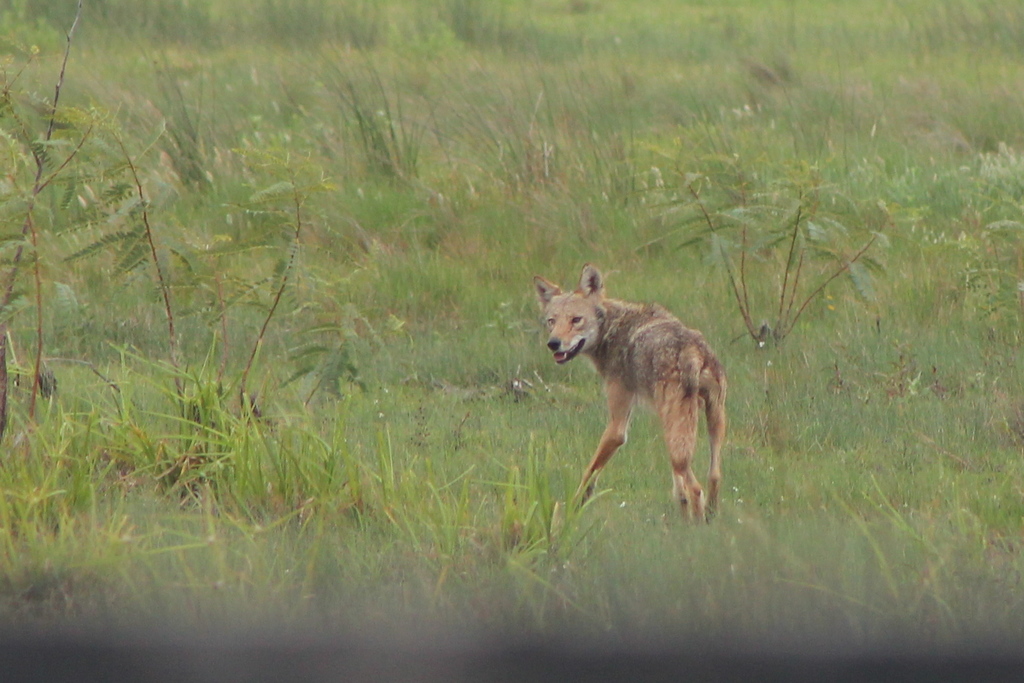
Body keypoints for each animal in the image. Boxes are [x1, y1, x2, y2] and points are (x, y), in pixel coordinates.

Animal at [534, 264, 727, 521]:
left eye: (576, 320)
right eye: (551, 321)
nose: (553, 343)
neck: (614, 329)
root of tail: (693, 350)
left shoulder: (617, 426)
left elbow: (589, 472)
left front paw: (573, 509)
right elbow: (678, 487)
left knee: (697, 488)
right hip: (706, 424)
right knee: (713, 477)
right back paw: (710, 521)